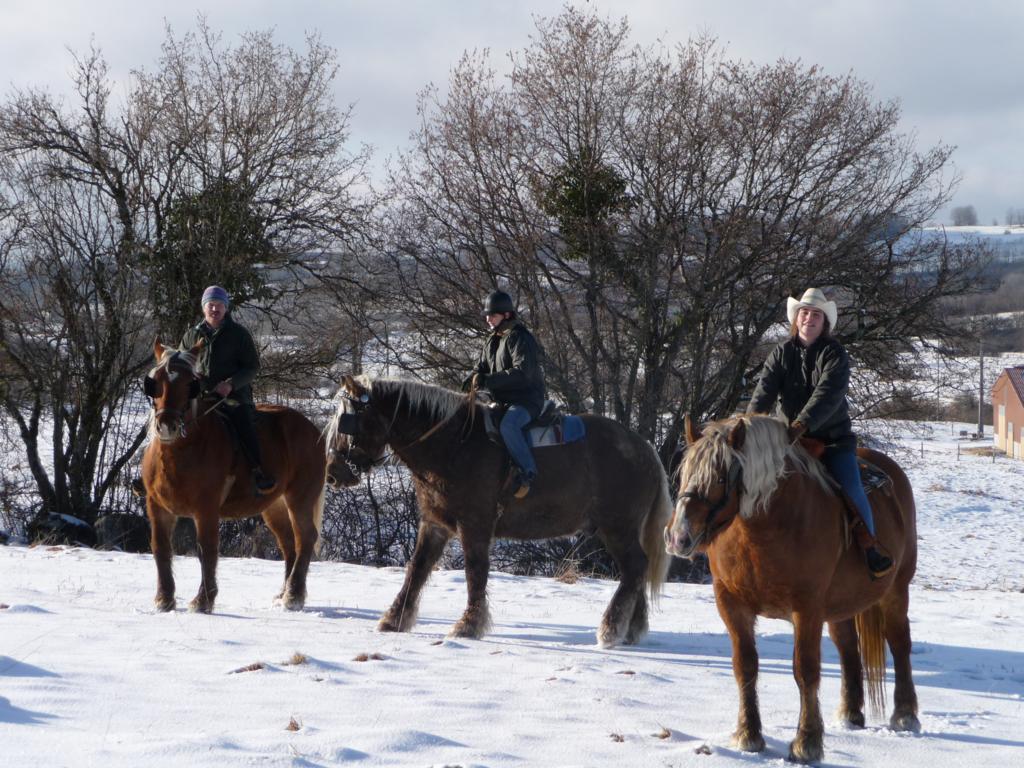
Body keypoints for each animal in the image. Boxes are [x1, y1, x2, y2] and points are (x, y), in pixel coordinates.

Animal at [141, 340, 329, 614]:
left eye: (190, 383)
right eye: (155, 381)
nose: (167, 425)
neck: (180, 452)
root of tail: (313, 430)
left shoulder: (206, 509)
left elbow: (207, 549)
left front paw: (203, 600)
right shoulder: (157, 506)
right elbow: (161, 548)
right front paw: (164, 599)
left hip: (300, 498)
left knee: (305, 539)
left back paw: (293, 596)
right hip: (275, 506)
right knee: (288, 545)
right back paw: (283, 593)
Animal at [324, 374, 672, 647]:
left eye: (348, 422)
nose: (333, 473)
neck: (453, 444)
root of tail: (644, 447)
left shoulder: (475, 524)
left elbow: (475, 571)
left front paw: (469, 624)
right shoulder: (434, 524)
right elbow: (417, 569)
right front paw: (395, 618)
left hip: (617, 527)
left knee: (634, 567)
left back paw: (612, 627)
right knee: (637, 570)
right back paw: (632, 628)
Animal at [664, 414, 919, 764]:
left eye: (720, 476)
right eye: (684, 472)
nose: (679, 537)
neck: (765, 529)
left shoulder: (806, 608)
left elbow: (805, 670)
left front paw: (806, 743)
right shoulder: (731, 604)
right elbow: (745, 665)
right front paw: (748, 735)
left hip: (896, 590)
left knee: (899, 643)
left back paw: (906, 715)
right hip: (841, 606)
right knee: (848, 648)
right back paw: (850, 715)